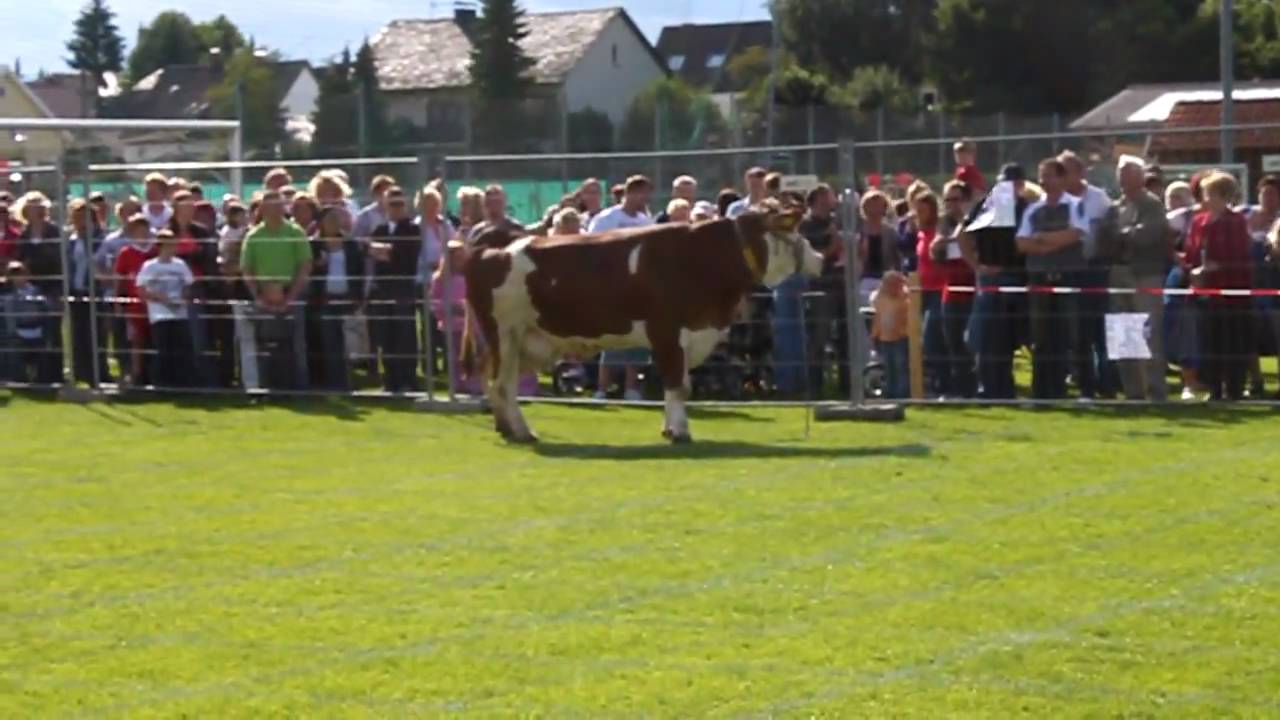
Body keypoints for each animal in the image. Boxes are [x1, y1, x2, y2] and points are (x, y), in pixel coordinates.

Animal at [463, 202, 825, 444]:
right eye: (793, 231)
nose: (820, 258)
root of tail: (495, 240)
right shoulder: (666, 331)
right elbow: (678, 384)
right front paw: (681, 432)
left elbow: (678, 383)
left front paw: (669, 427)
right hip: (504, 332)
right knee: (503, 383)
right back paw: (523, 431)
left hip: (520, 339)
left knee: (491, 377)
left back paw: (505, 427)